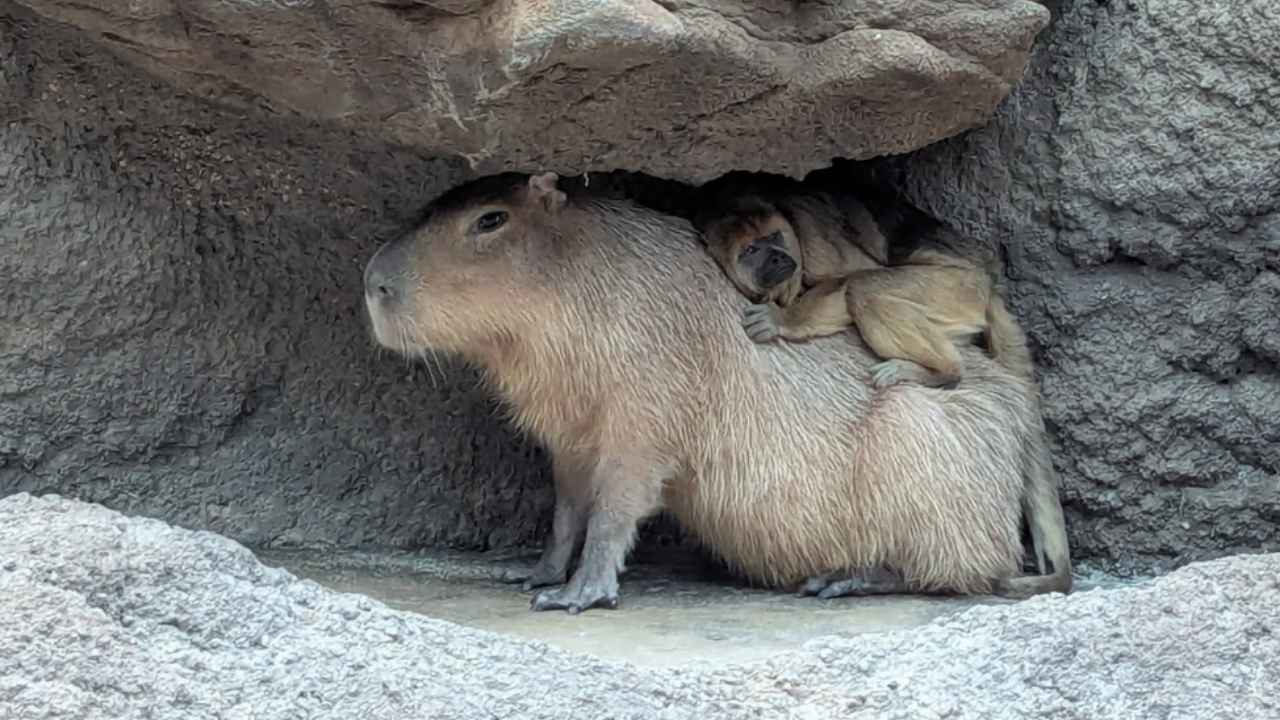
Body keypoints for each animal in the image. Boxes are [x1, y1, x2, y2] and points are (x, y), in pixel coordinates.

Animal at [362, 171, 1072, 614]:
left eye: (491, 220)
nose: (373, 284)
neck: (589, 274)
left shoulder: (647, 403)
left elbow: (617, 503)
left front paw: (579, 594)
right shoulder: (569, 432)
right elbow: (566, 505)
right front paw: (533, 571)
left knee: (967, 571)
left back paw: (845, 579)